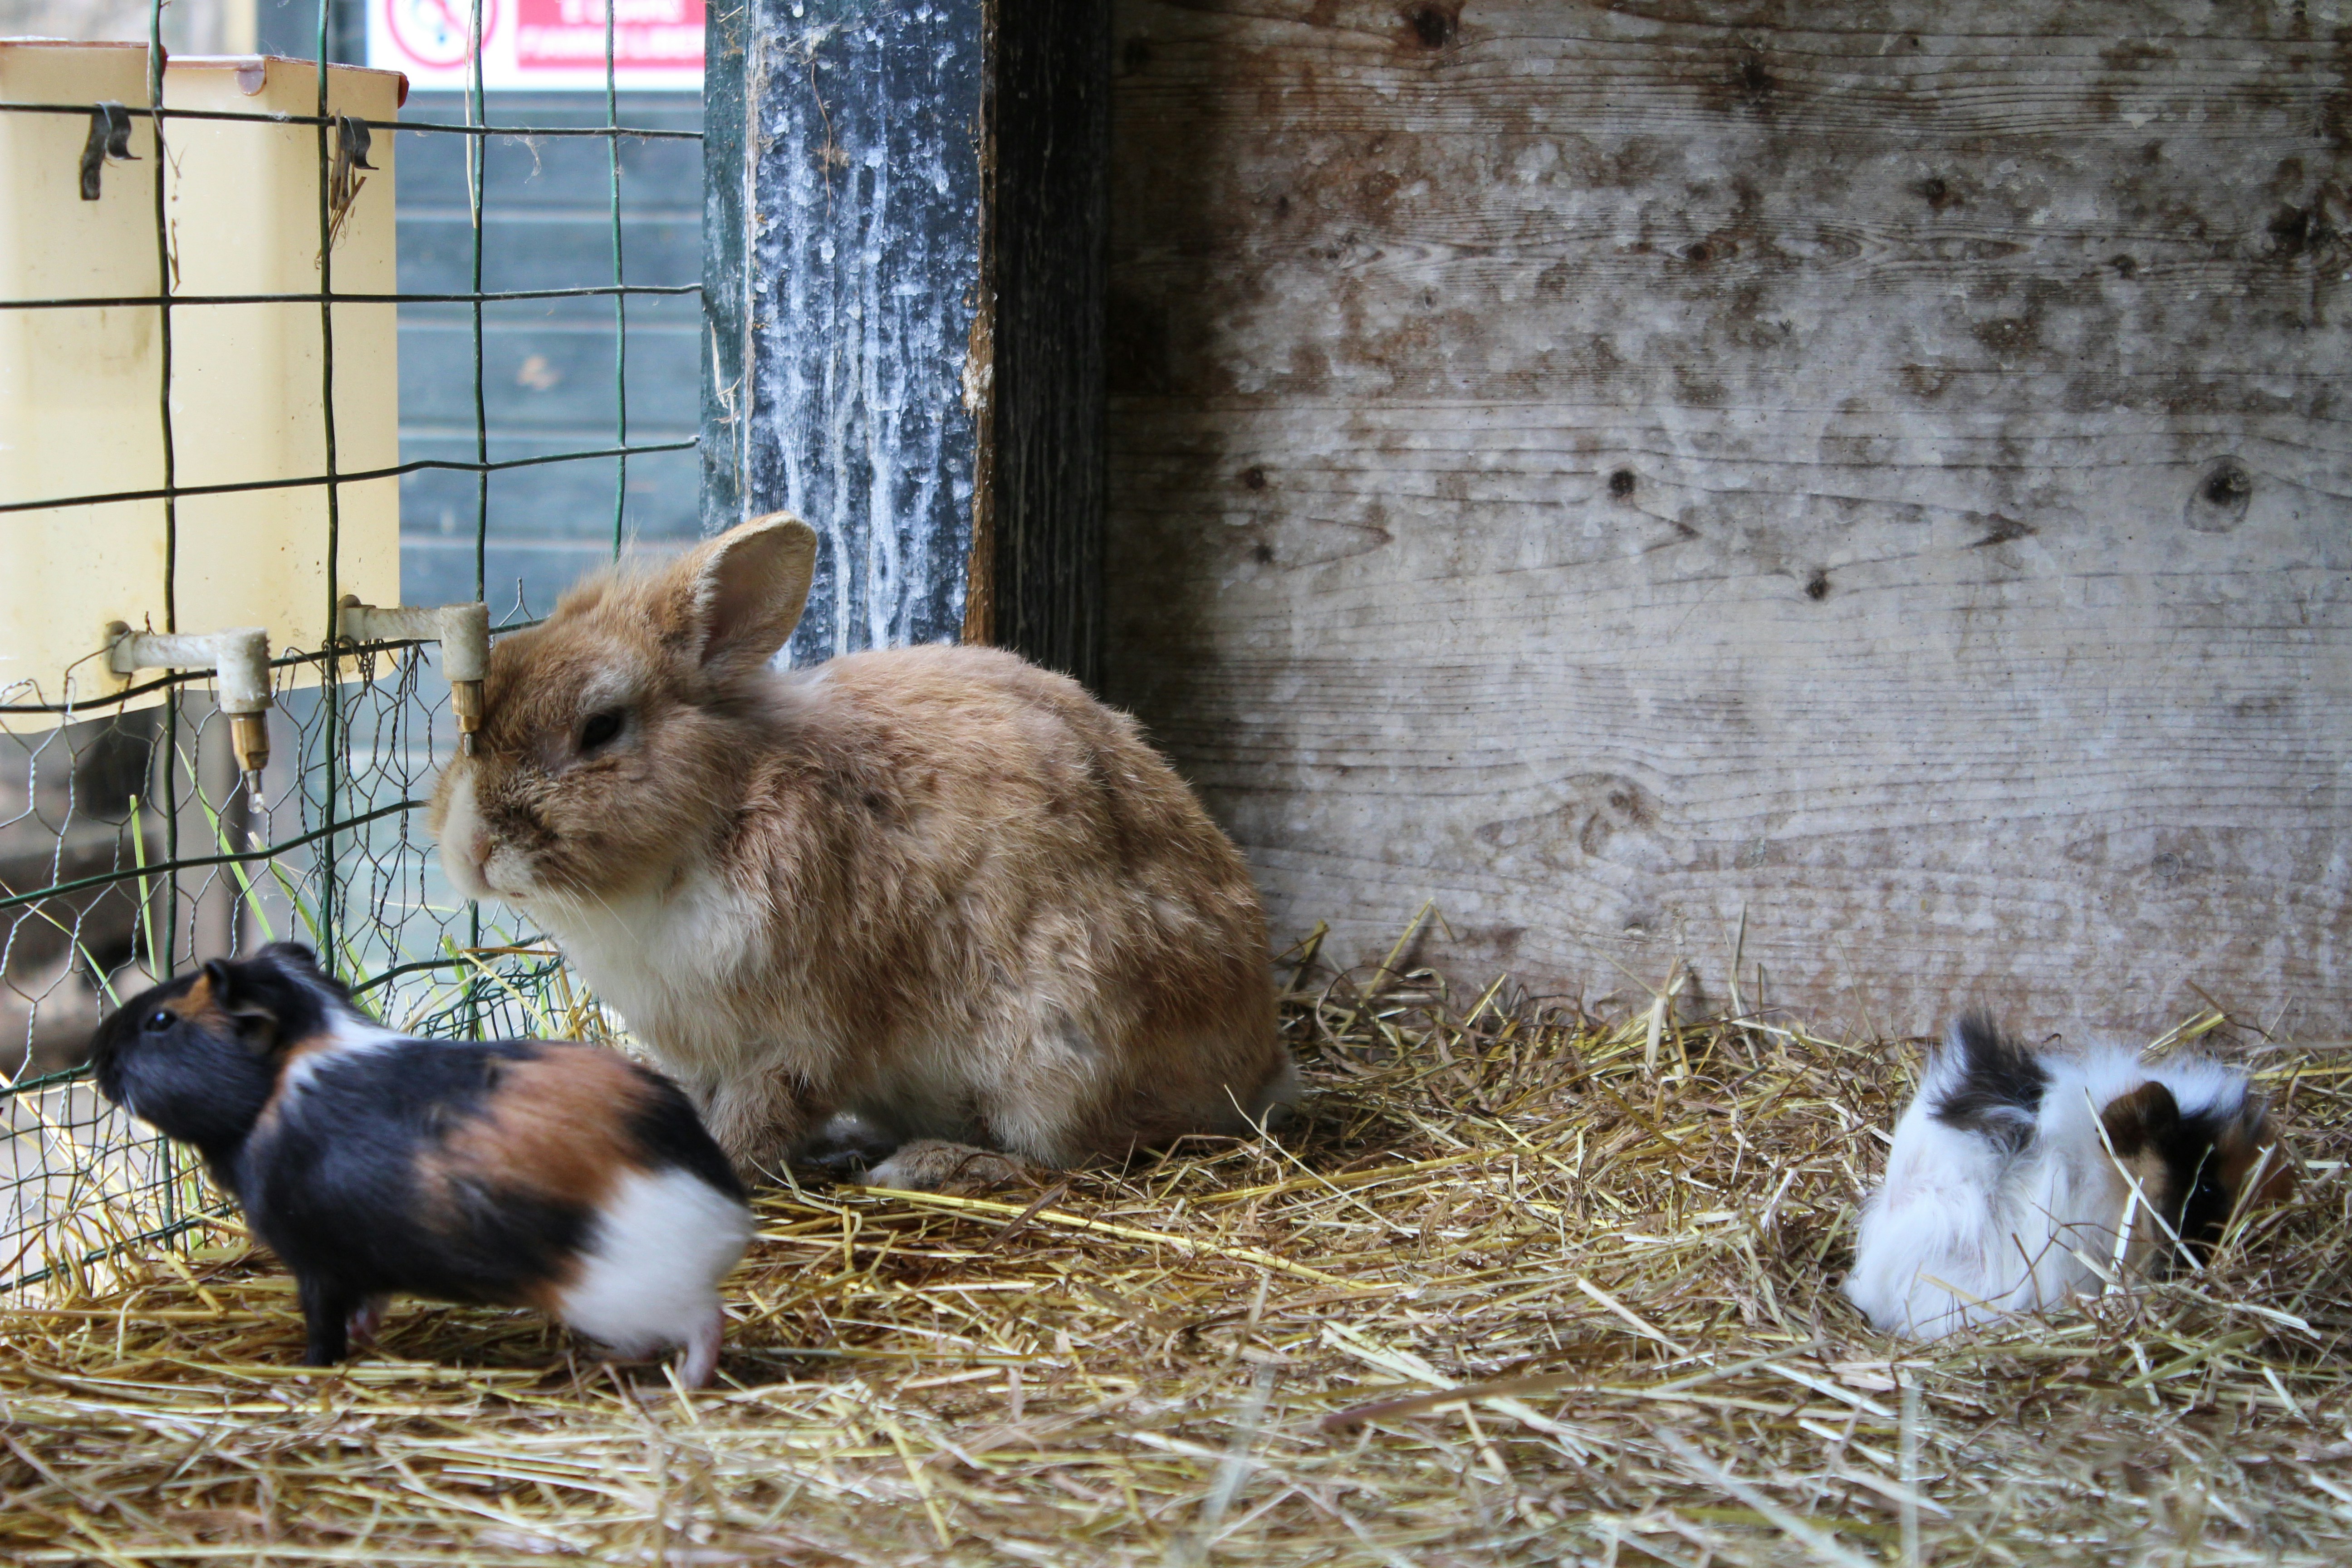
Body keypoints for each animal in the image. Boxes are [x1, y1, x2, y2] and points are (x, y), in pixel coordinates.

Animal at [87, 942, 753, 1386]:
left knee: (705, 1325)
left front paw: (311, 1368)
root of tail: (727, 1222)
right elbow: (369, 1305)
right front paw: (364, 1339)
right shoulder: (364, 1259)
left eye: (161, 1021)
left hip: (626, 1296)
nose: (98, 1055)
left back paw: (677, 1383)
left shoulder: (315, 1263)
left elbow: (324, 1324)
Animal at [428, 513, 1296, 1192]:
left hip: (1057, 1056)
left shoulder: (799, 1038)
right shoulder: (700, 1048)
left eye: (601, 728)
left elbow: (754, 1117)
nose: (471, 849)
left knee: (1078, 1157)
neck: (712, 815)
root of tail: (1257, 1070)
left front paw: (724, 1166)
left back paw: (930, 1165)